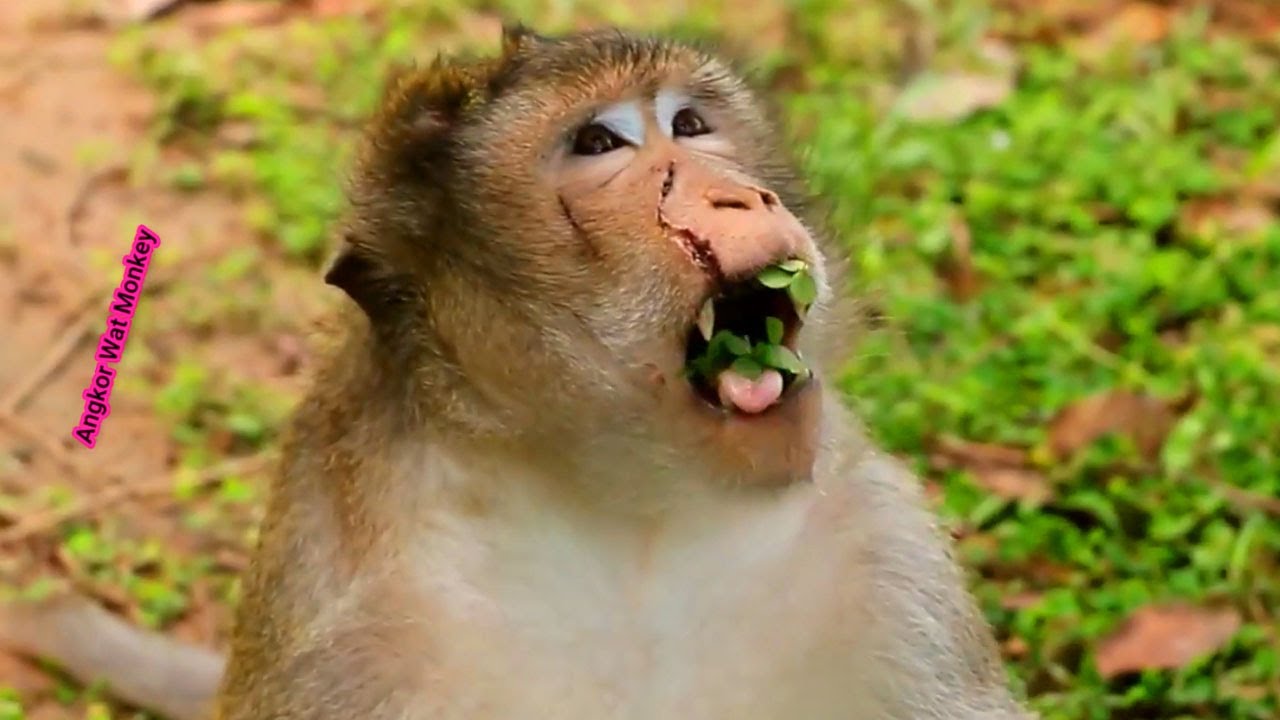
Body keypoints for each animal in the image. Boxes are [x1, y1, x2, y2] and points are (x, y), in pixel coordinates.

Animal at [0, 25, 1035, 720]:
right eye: (601, 144)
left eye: (692, 123)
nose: (741, 196)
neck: (633, 517)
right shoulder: (348, 631)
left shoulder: (886, 550)